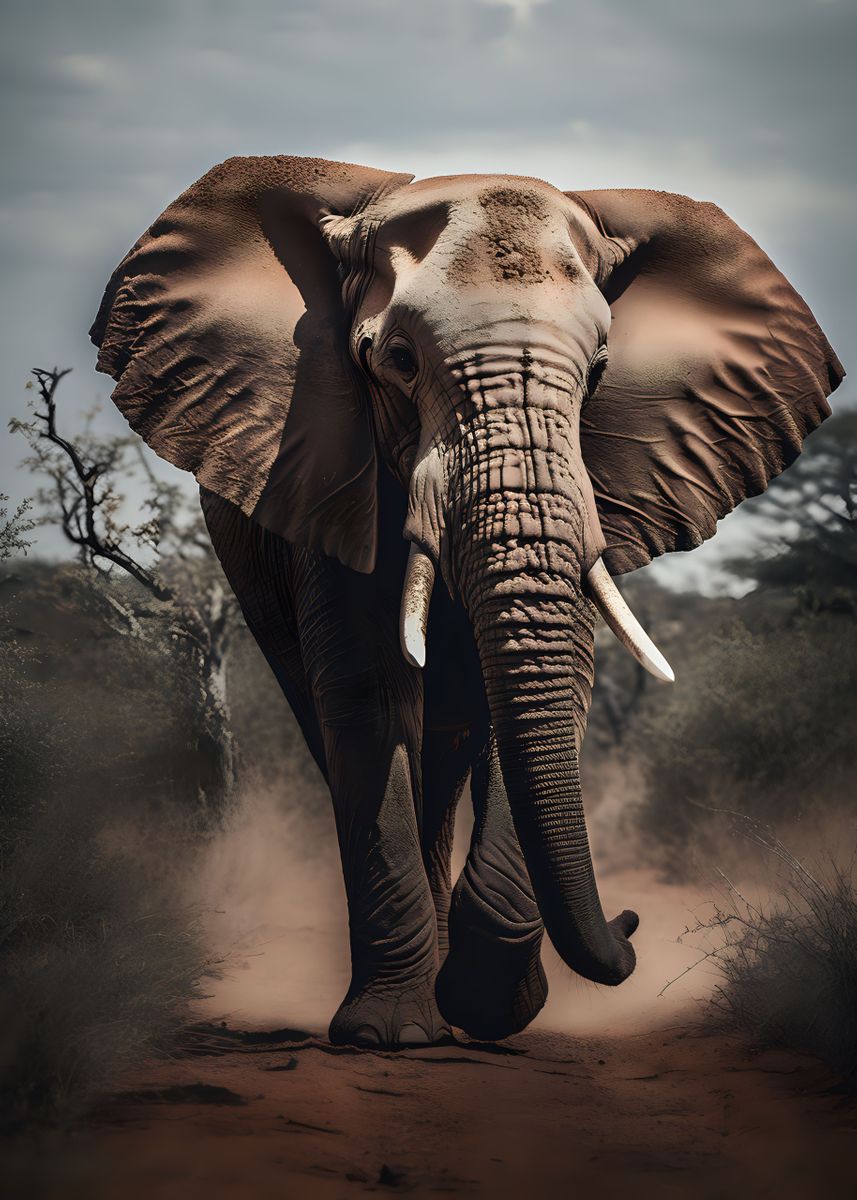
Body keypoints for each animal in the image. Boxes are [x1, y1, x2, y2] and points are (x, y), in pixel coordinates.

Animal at [91, 156, 842, 1047]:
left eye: (598, 371)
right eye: (397, 359)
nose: (628, 924)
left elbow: (559, 679)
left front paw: (490, 1005)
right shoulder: (323, 463)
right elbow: (368, 694)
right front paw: (390, 1033)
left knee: (448, 748)